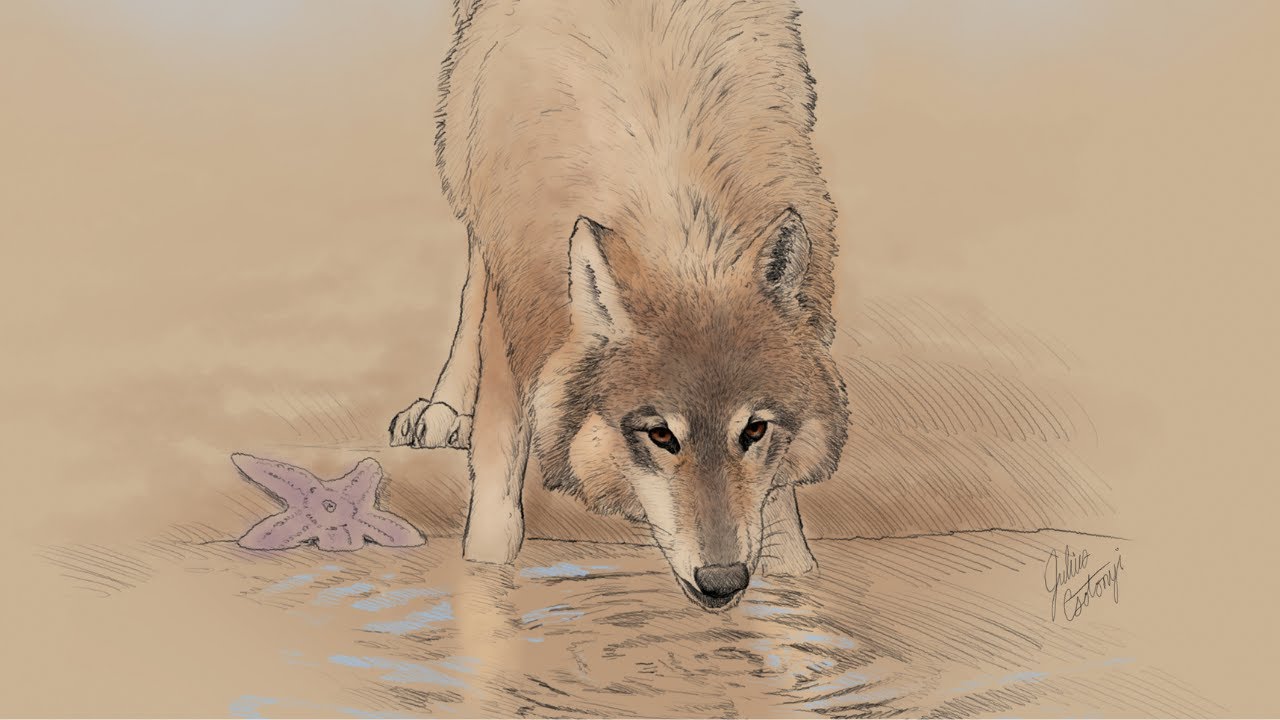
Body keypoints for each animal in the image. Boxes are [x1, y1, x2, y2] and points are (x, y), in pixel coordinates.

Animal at [390, 0, 849, 611]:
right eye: (661, 436)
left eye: (754, 431)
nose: (723, 580)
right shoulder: (514, 301)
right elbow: (494, 509)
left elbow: (784, 532)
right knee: (472, 271)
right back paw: (441, 410)